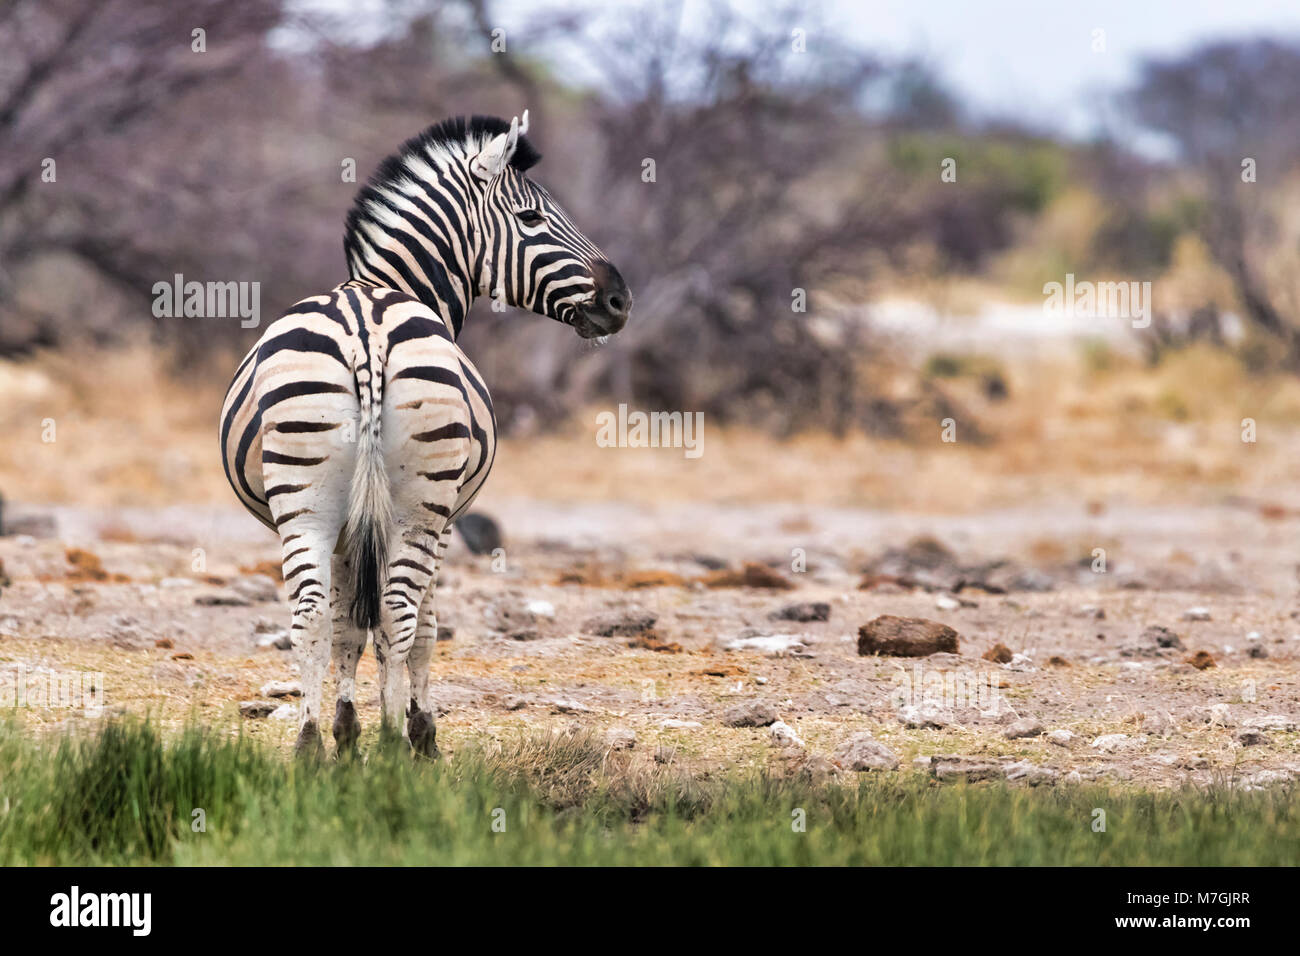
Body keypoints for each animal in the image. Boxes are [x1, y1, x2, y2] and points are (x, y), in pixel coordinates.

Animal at [219, 112, 631, 756]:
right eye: (532, 219)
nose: (620, 300)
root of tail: (365, 328)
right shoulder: (446, 523)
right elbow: (424, 629)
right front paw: (418, 730)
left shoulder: (348, 529)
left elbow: (346, 625)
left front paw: (346, 733)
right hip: (420, 509)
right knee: (400, 613)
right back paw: (395, 745)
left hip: (306, 503)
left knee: (311, 615)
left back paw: (311, 747)